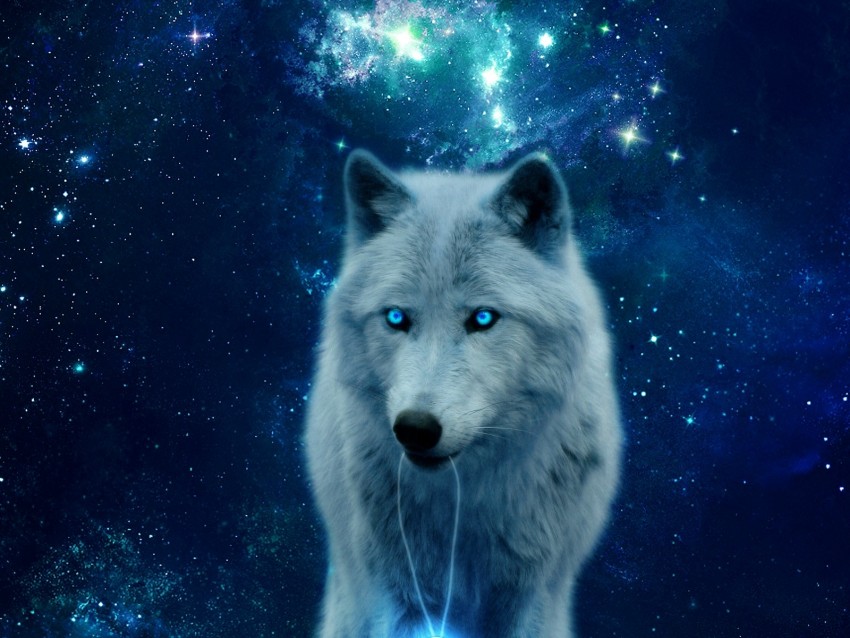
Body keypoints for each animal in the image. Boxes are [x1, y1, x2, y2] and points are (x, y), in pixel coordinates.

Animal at [304, 149, 622, 638]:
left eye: (484, 318)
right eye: (396, 317)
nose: (415, 428)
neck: (463, 503)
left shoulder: (528, 595)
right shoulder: (401, 596)